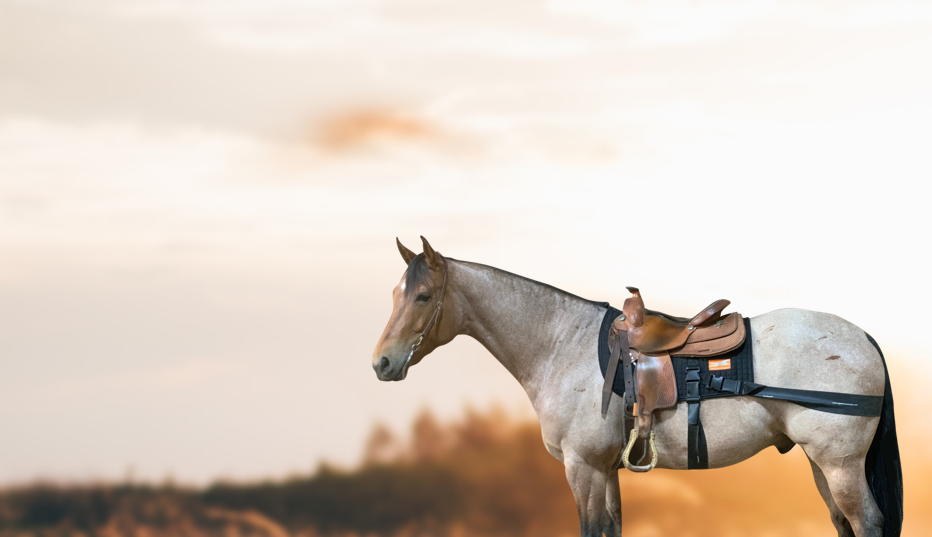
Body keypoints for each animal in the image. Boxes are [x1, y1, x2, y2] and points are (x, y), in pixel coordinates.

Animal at [371, 237, 902, 537]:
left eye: (423, 295)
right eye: (395, 293)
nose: (381, 363)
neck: (563, 344)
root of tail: (863, 336)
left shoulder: (583, 468)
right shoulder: (604, 471)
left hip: (840, 465)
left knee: (868, 524)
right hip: (822, 464)